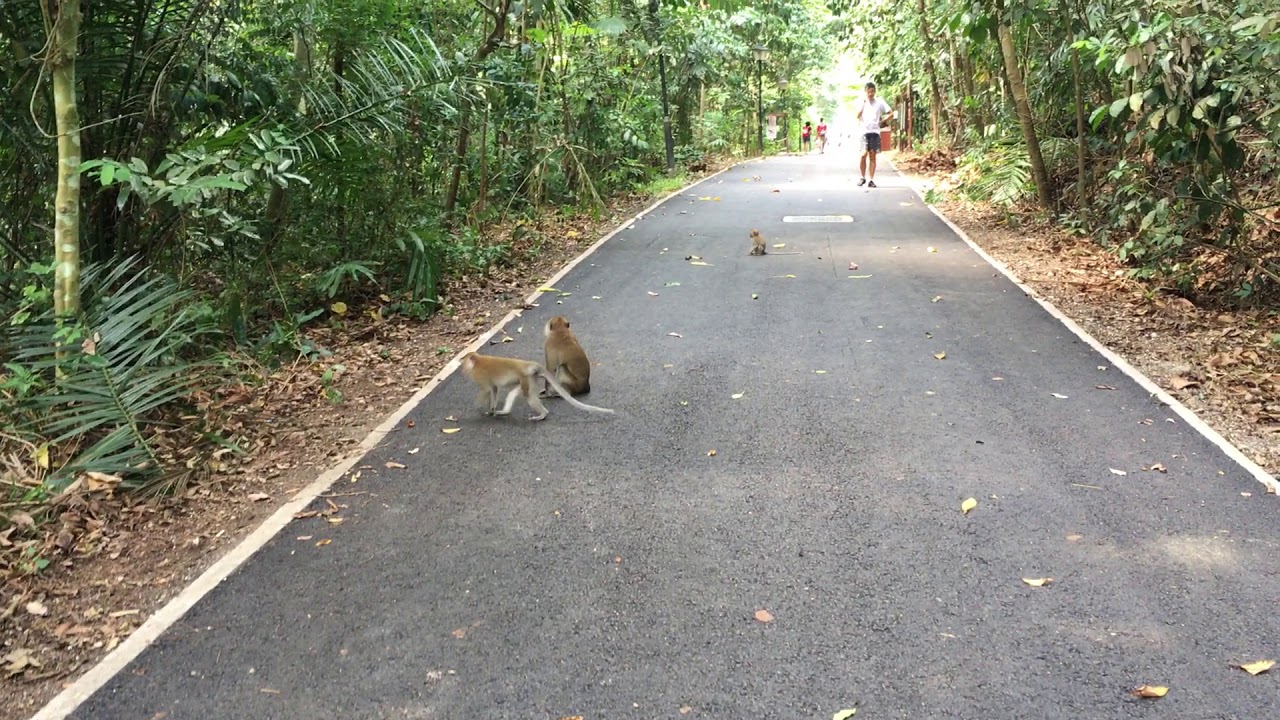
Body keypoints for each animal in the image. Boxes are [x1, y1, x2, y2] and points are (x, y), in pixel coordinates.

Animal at [459, 352, 614, 421]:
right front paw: (491, 410)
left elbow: (486, 390)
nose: (462, 369)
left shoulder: (479, 376)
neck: (477, 361)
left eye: (464, 362)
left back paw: (542, 414)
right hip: (528, 379)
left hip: (526, 378)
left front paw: (480, 408)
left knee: (529, 397)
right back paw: (505, 412)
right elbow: (494, 390)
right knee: (515, 393)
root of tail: (529, 365)